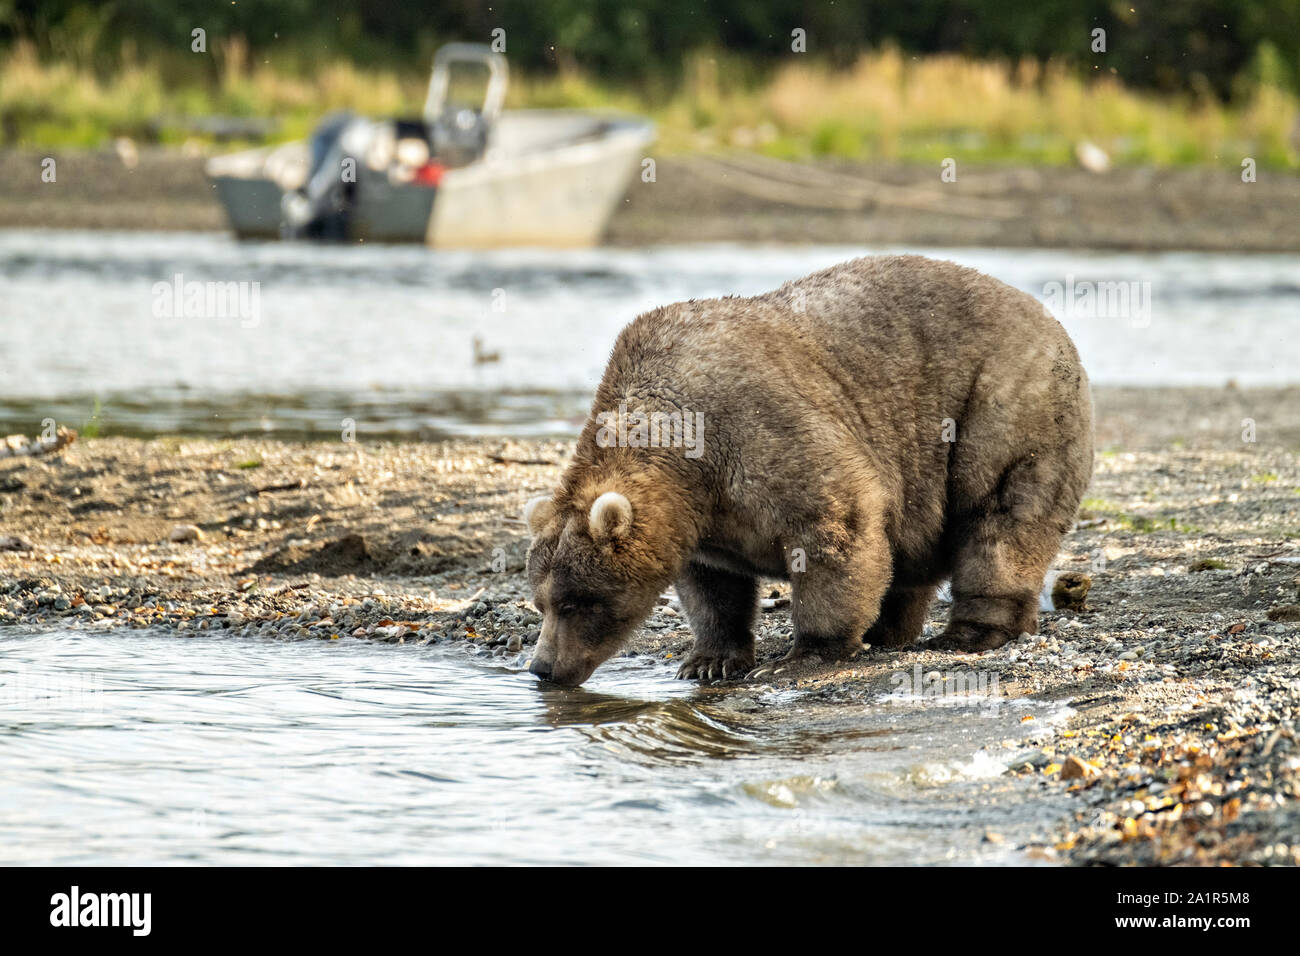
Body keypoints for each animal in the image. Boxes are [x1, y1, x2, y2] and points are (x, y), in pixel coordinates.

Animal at [523, 254, 1093, 686]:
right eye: (541, 602)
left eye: (576, 602)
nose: (541, 668)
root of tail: (1045, 314)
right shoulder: (701, 517)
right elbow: (713, 586)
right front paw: (708, 661)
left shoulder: (756, 429)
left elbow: (836, 525)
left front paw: (804, 654)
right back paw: (889, 628)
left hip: (1001, 407)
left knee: (1000, 518)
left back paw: (968, 632)